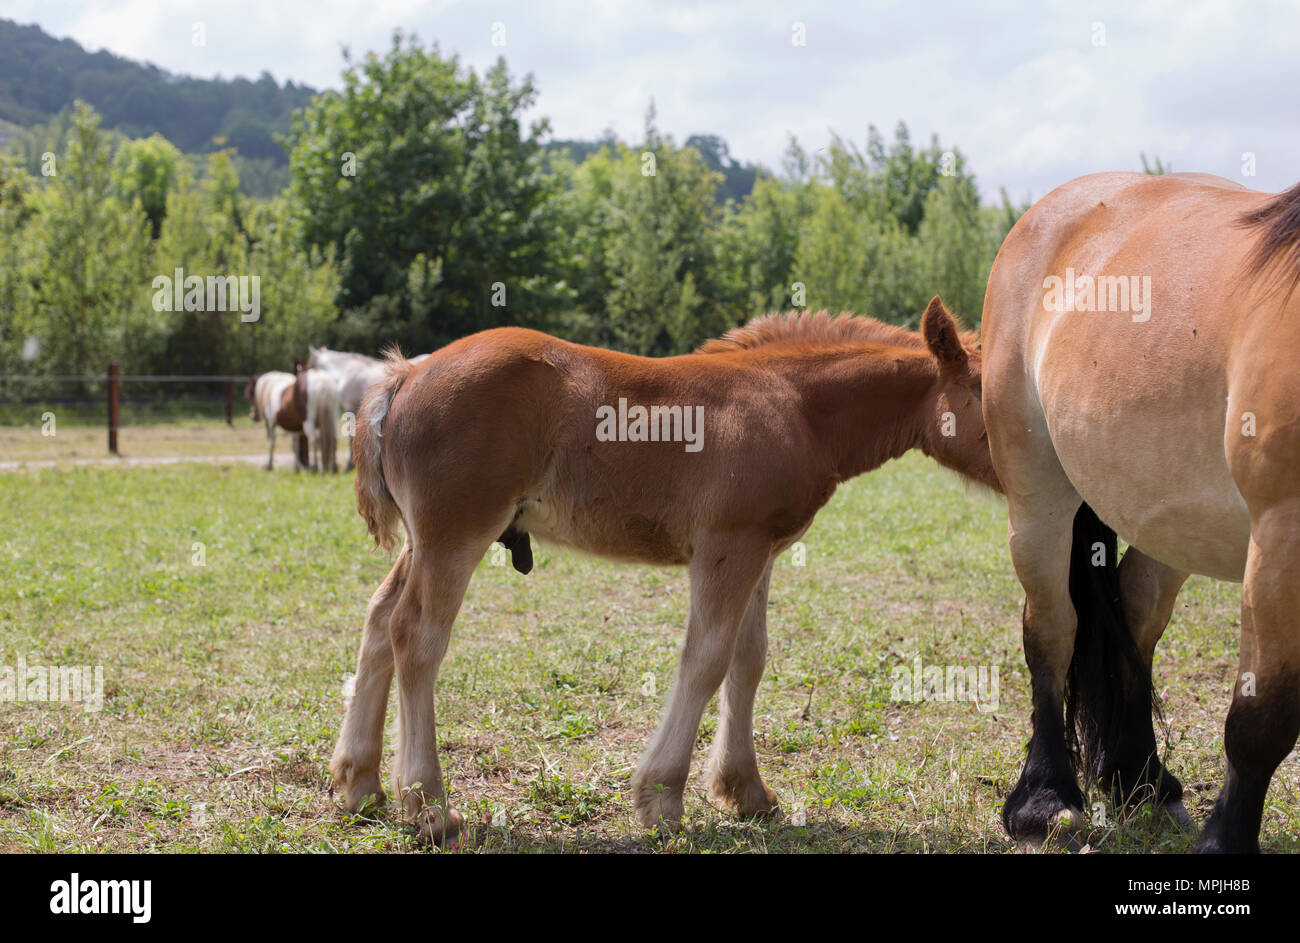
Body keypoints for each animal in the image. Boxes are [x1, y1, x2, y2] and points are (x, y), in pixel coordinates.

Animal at [329, 296, 1000, 843]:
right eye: (988, 392)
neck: (796, 406)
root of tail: (406, 375)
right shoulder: (727, 545)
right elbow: (706, 658)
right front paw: (662, 798)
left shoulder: (762, 549)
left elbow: (748, 660)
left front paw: (745, 791)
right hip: (455, 535)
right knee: (416, 636)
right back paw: (431, 808)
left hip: (423, 541)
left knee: (379, 620)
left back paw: (360, 785)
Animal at [981, 172, 1300, 853]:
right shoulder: (1281, 544)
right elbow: (1262, 721)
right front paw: (1224, 843)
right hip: (1037, 497)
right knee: (1051, 630)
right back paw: (1045, 799)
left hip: (1167, 518)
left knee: (1134, 613)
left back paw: (1141, 781)